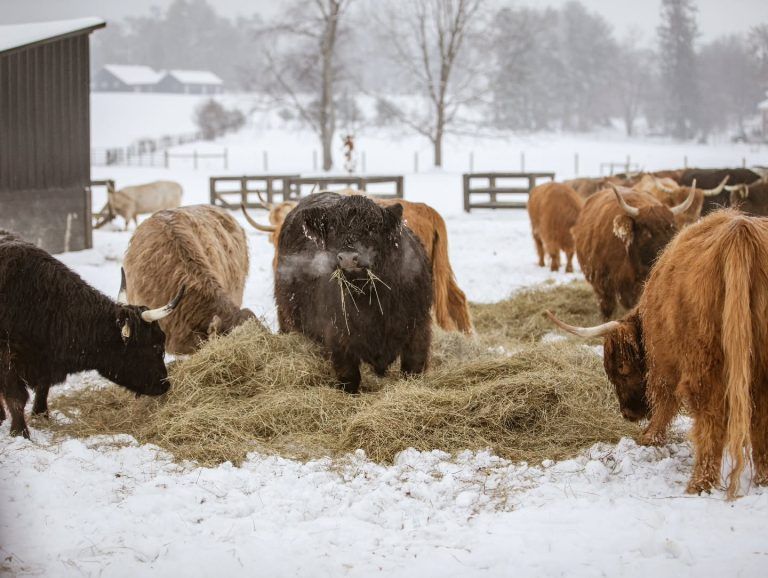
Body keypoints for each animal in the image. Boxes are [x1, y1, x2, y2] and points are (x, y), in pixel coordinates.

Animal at [0, 230, 184, 438]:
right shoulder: (7, 358)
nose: (165, 385)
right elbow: (16, 397)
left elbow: (42, 388)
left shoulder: (46, 363)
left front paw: (42, 414)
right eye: (156, 345)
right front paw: (20, 432)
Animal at [274, 192, 432, 393]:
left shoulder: (418, 329)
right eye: (333, 228)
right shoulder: (338, 337)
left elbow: (412, 369)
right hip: (286, 315)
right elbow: (349, 378)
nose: (348, 258)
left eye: (372, 228)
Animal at [546, 210, 768, 499]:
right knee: (760, 420)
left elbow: (663, 400)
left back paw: (699, 484)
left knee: (710, 418)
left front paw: (650, 437)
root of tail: (739, 233)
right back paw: (763, 478)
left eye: (620, 368)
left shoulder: (662, 360)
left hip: (704, 365)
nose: (628, 414)